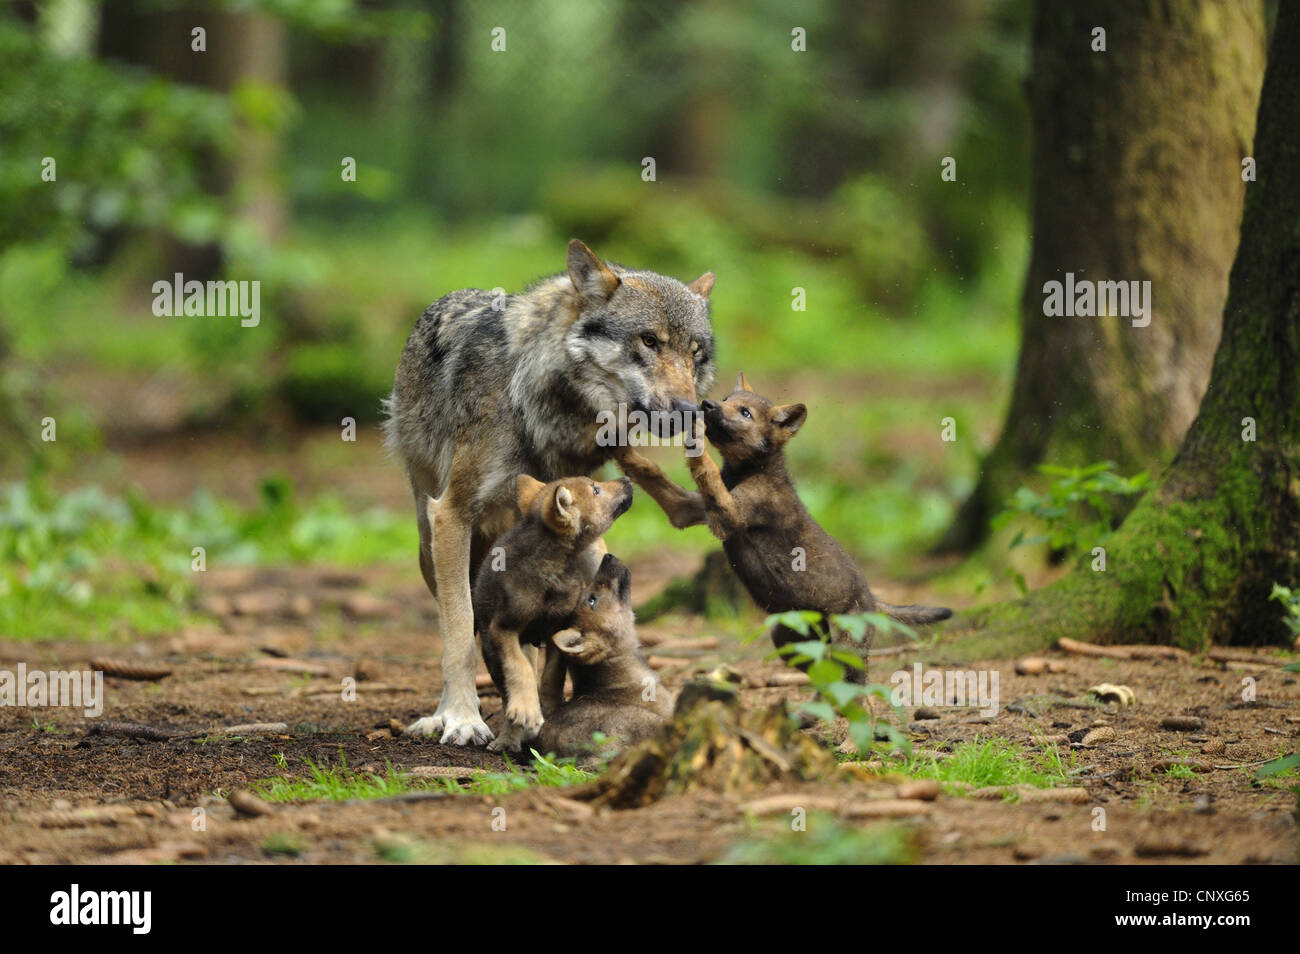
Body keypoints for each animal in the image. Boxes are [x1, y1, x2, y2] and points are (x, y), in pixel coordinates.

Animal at [384, 240, 716, 744]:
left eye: (694, 352)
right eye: (649, 341)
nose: (687, 411)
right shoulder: (453, 514)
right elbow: (459, 634)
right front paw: (461, 718)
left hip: (588, 547)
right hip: (429, 542)